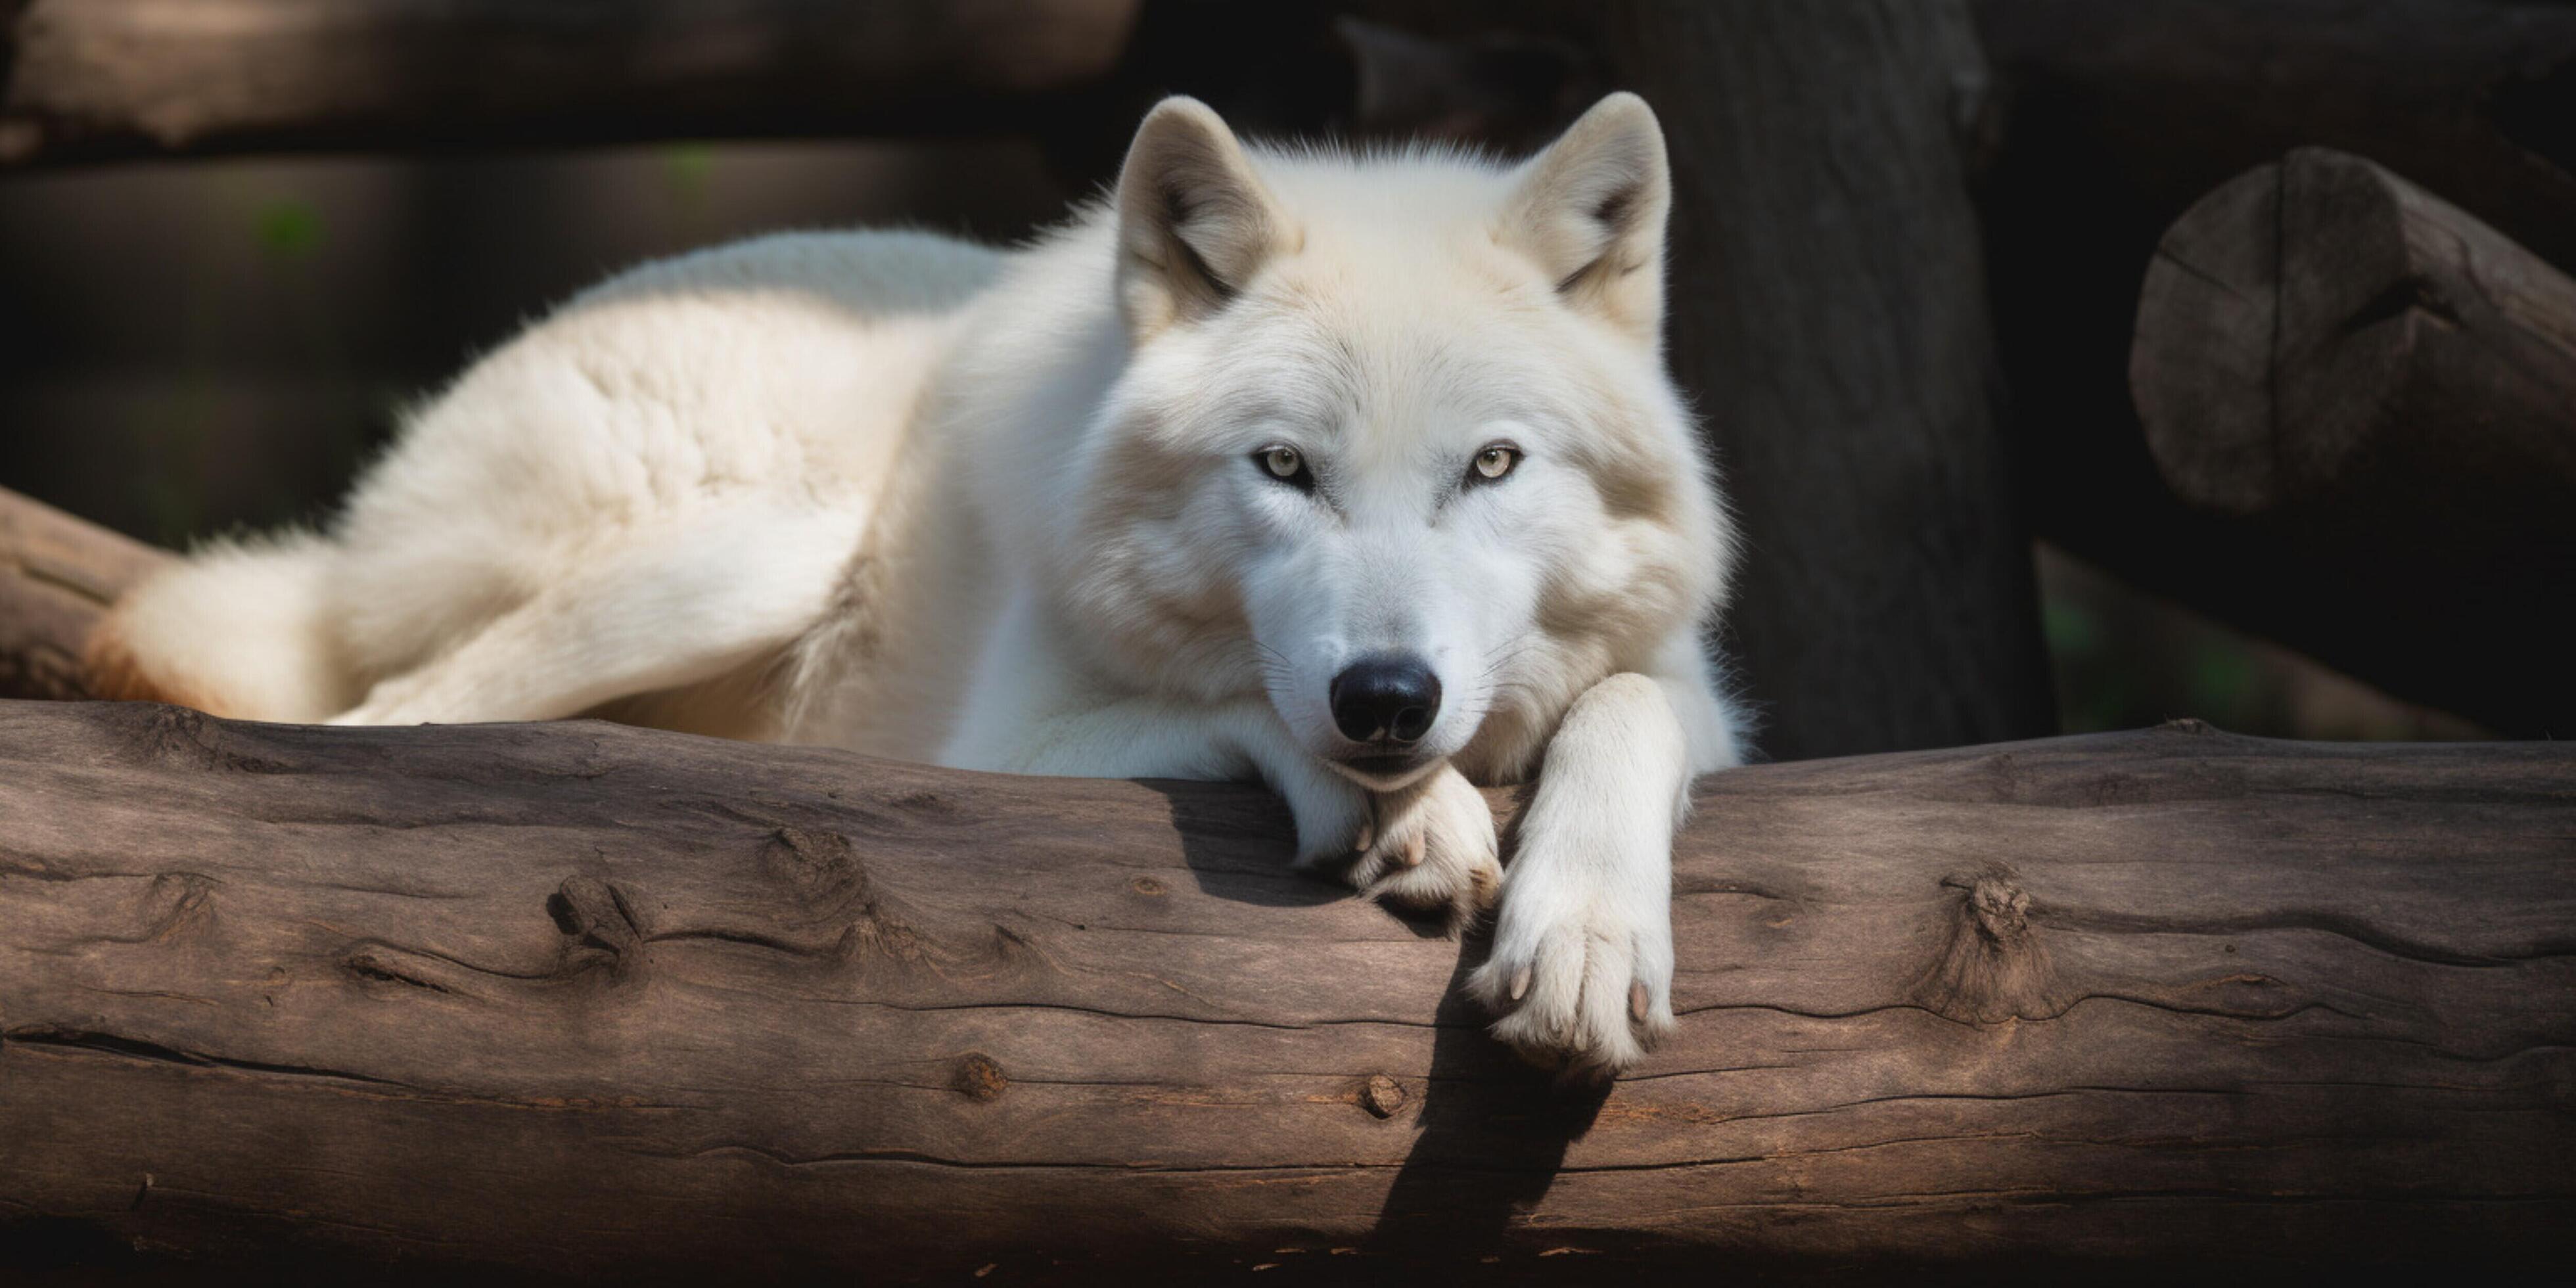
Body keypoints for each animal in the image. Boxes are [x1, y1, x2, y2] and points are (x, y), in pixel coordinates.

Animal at [88, 93, 1745, 1076]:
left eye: (1492, 467)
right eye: (1283, 468)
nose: (1389, 699)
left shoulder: (1698, 697)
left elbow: (1631, 714)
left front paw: (1584, 939)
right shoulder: (1003, 739)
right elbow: (1233, 709)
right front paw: (1410, 809)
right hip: (759, 553)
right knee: (385, 721)